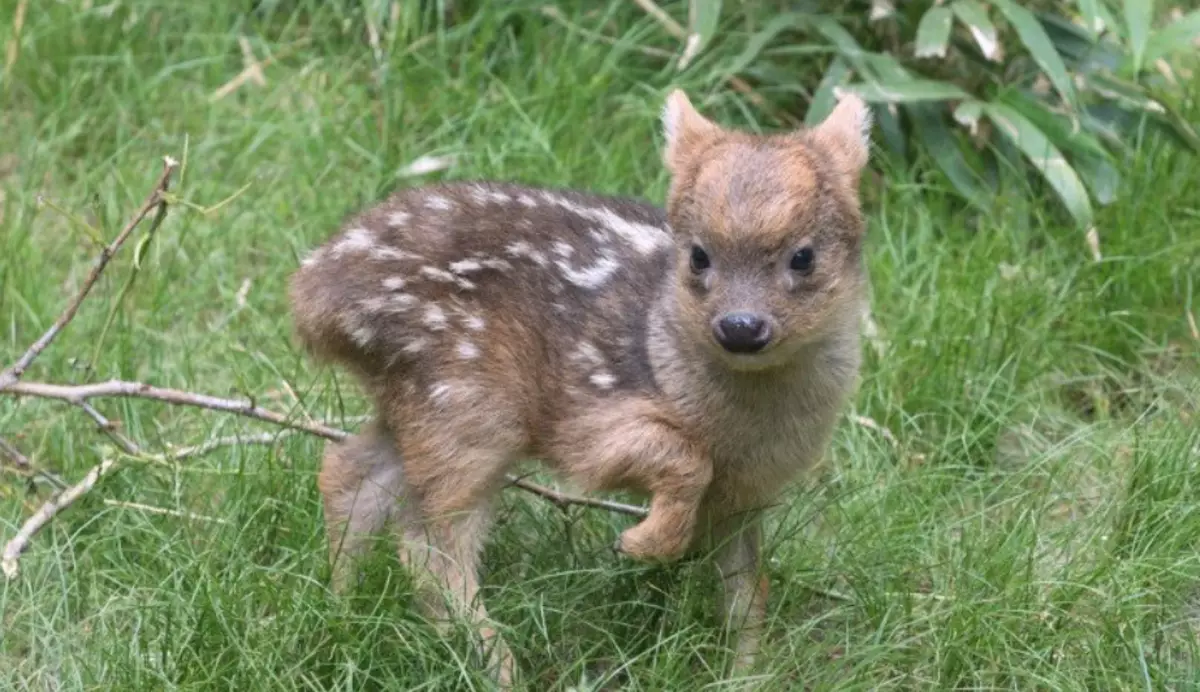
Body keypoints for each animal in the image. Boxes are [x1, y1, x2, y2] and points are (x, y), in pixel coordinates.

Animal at [290, 88, 873, 681]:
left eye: (804, 256)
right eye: (698, 255)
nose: (741, 326)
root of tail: (313, 295)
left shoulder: (746, 493)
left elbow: (748, 590)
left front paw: (745, 674)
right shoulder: (587, 419)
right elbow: (681, 458)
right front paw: (641, 543)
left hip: (416, 398)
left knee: (349, 472)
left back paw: (339, 607)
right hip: (467, 400)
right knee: (428, 543)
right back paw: (499, 668)